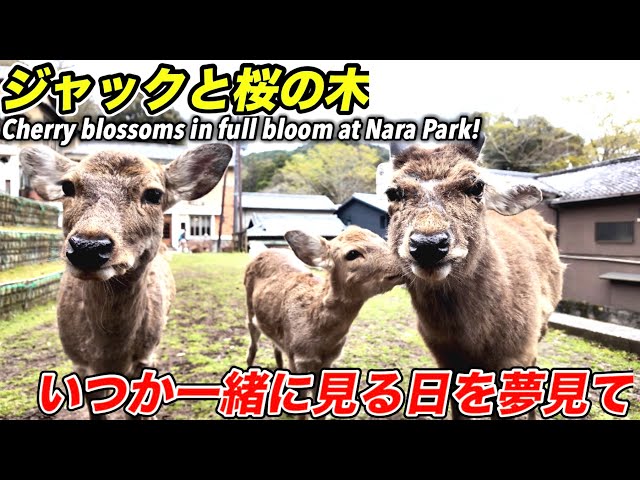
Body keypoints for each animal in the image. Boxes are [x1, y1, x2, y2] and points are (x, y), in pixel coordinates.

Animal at [20, 143, 233, 419]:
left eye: (154, 194)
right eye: (67, 186)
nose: (88, 246)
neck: (111, 354)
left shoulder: (145, 356)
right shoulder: (80, 362)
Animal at [244, 226, 404, 417]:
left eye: (384, 241)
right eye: (352, 253)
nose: (404, 263)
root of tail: (263, 250)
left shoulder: (328, 360)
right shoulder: (298, 358)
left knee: (276, 347)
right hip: (249, 310)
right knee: (253, 347)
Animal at [386, 136, 564, 420]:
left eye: (477, 186)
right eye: (392, 192)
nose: (428, 244)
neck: (474, 340)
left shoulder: (518, 352)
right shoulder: (444, 356)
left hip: (541, 328)